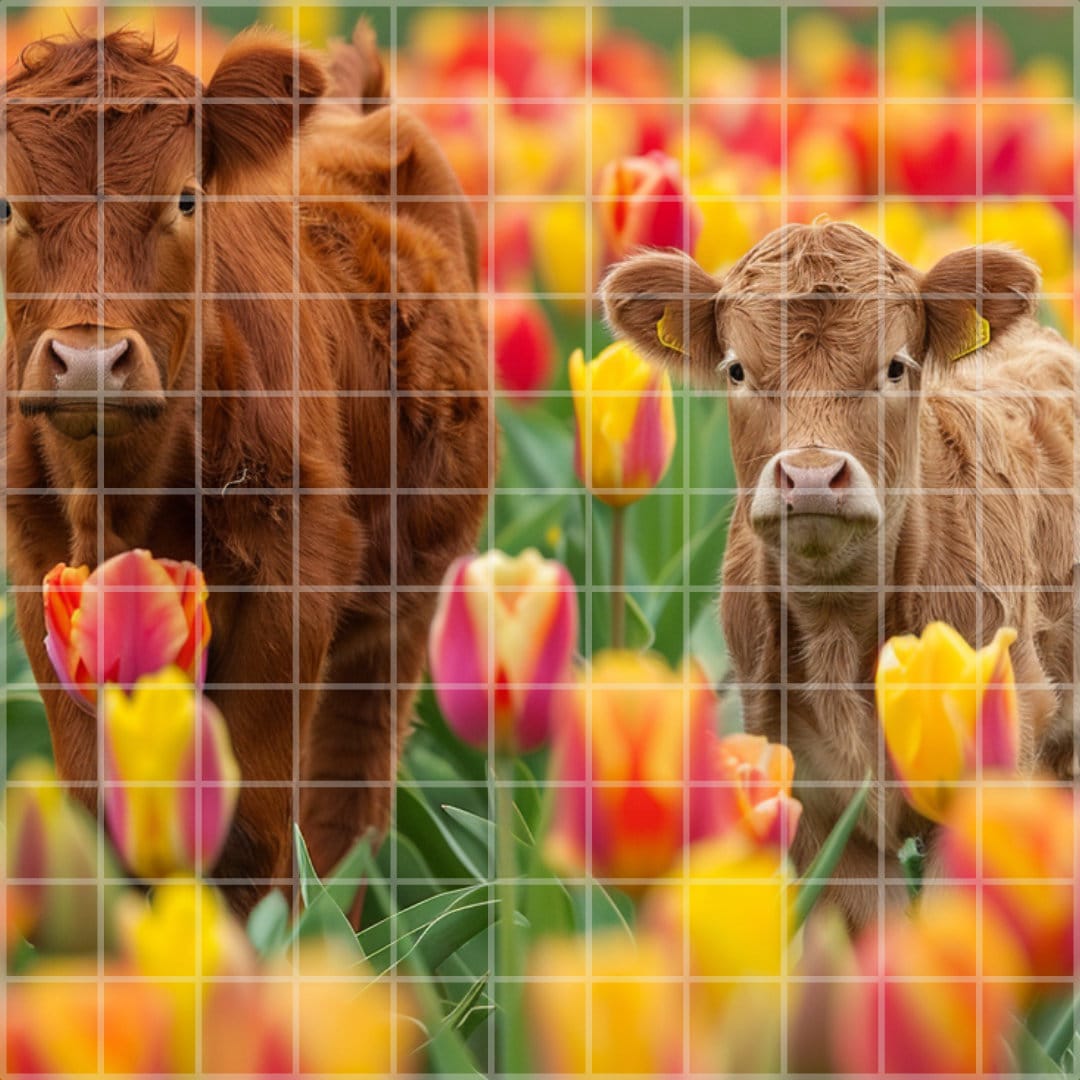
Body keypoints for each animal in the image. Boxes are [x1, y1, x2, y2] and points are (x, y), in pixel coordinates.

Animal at [3, 22, 490, 915]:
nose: (89, 361)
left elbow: (253, 840)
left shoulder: (292, 592)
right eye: (7, 205)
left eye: (186, 198)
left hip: (400, 617)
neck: (123, 496)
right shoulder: (40, 585)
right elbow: (101, 827)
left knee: (346, 805)